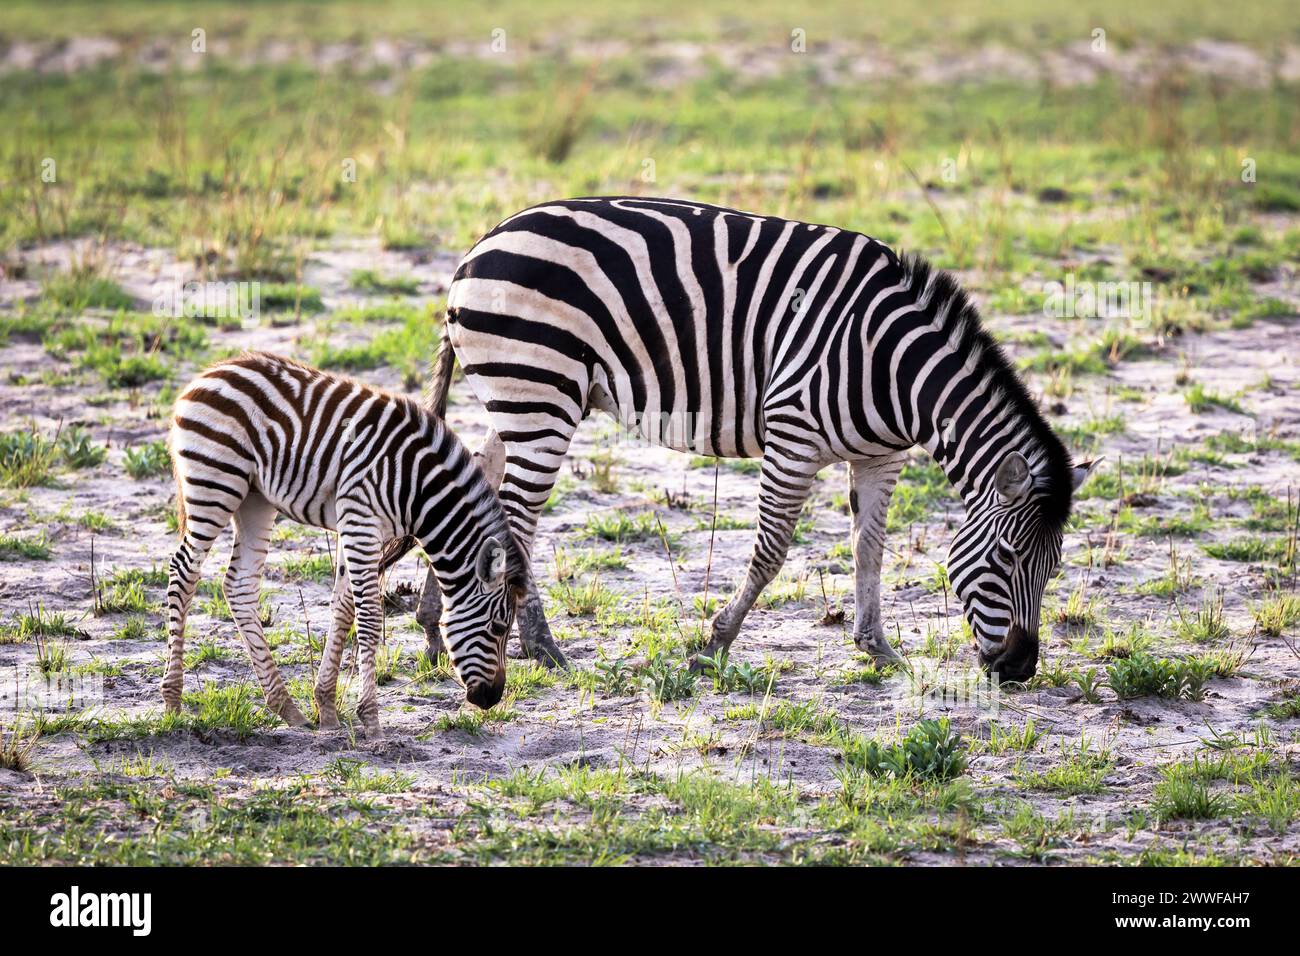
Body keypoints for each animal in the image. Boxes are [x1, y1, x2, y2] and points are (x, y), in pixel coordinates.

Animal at [163, 351, 527, 737]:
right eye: (499, 627)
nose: (492, 697)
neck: (416, 487)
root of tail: (209, 373)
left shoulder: (358, 525)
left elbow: (343, 607)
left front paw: (326, 708)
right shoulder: (360, 521)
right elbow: (368, 616)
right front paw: (371, 719)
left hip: (254, 499)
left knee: (239, 585)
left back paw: (286, 707)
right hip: (216, 483)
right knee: (183, 571)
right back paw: (172, 700)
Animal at [392, 197, 1093, 684]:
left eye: (1053, 568)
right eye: (1006, 560)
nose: (1020, 670)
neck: (894, 368)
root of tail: (477, 247)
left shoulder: (881, 457)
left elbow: (869, 550)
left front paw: (879, 650)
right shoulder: (793, 436)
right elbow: (771, 552)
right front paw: (714, 643)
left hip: (521, 394)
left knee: (478, 482)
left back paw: (434, 627)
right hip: (542, 393)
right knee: (514, 517)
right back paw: (542, 648)